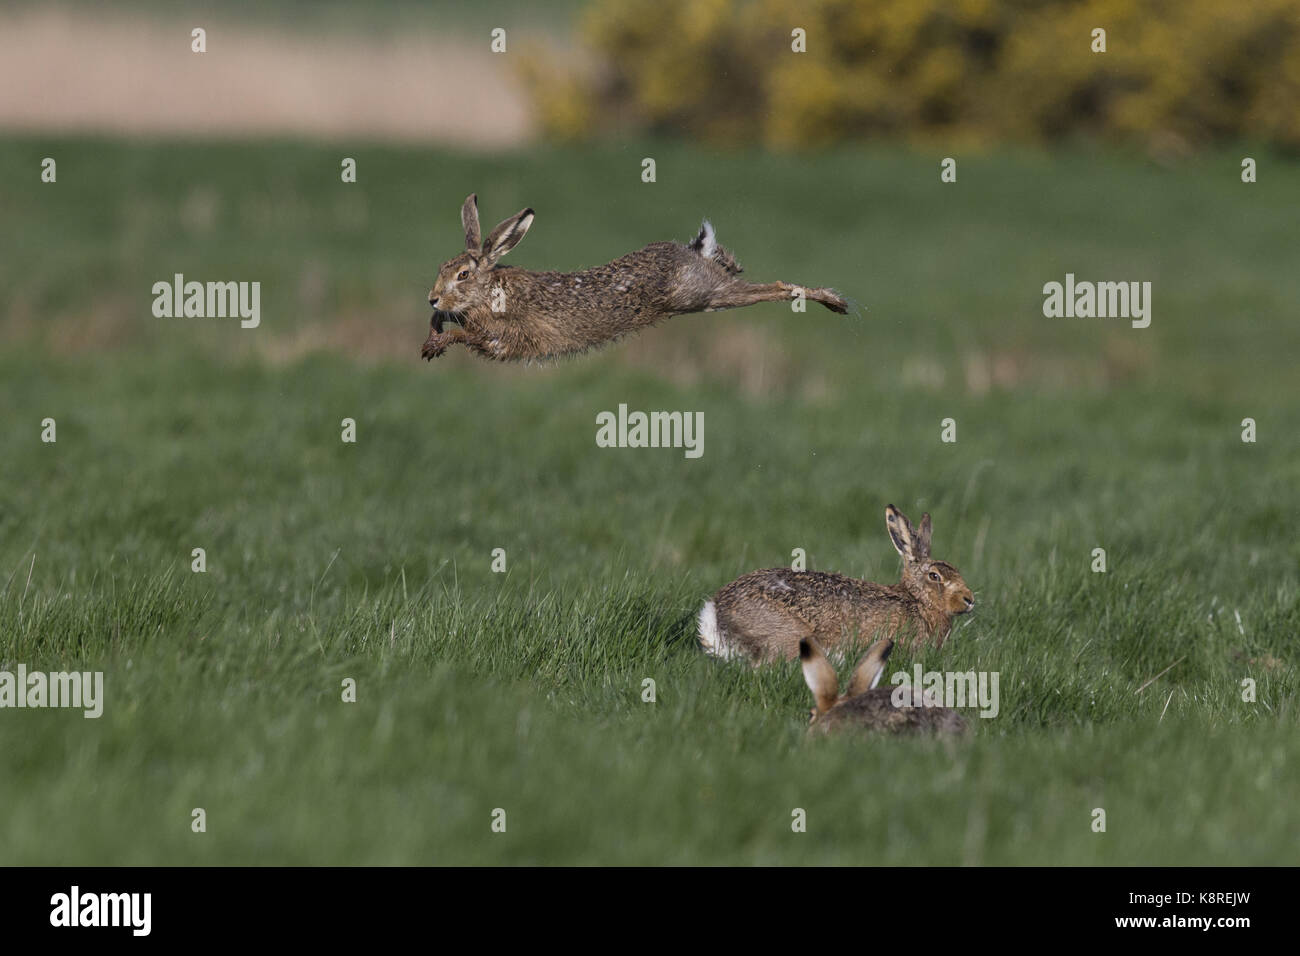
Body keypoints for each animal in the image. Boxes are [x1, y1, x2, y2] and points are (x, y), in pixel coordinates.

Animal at [420, 194, 849, 362]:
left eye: (462, 274)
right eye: (442, 268)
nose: (432, 298)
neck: (490, 291)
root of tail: (693, 251)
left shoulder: (504, 336)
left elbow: (469, 336)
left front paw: (436, 345)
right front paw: (431, 337)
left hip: (706, 293)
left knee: (771, 288)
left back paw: (835, 302)